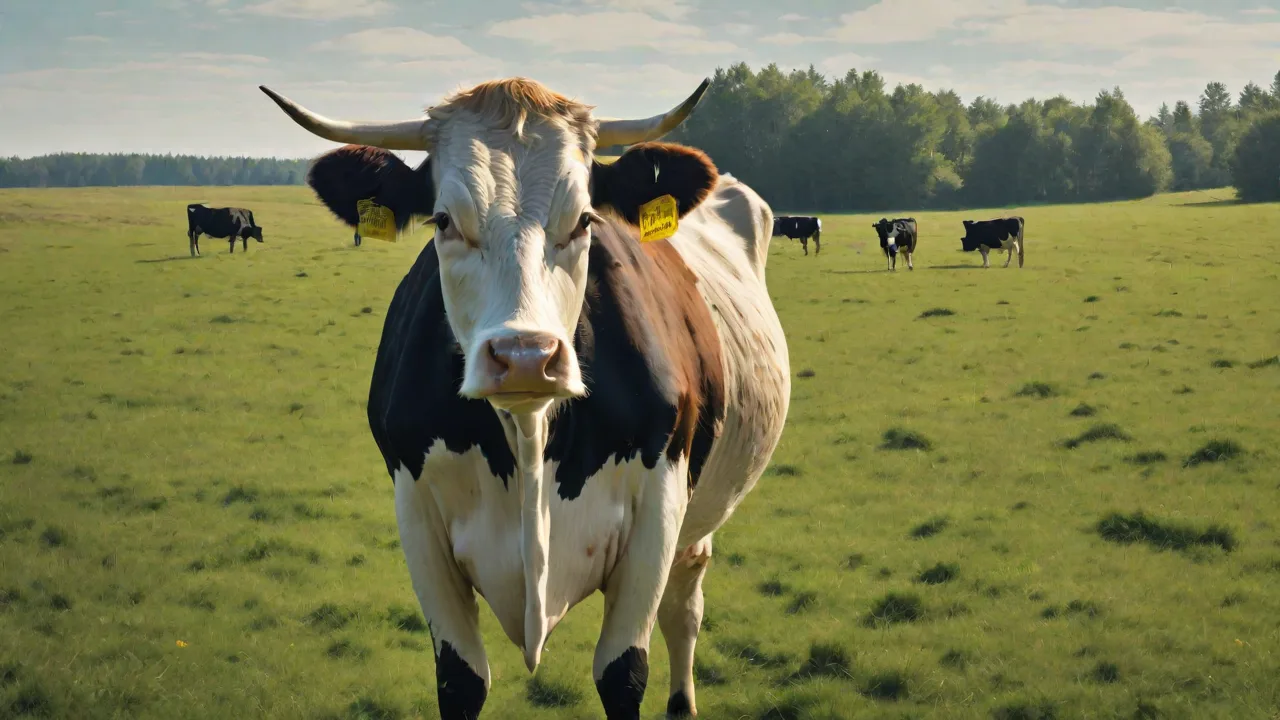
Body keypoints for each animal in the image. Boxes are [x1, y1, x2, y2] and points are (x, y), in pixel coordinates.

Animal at [260, 76, 791, 720]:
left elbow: (623, 672)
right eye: (443, 220)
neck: (529, 435)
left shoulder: (659, 507)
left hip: (697, 517)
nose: (525, 356)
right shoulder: (415, 511)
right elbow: (460, 679)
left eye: (585, 219)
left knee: (683, 606)